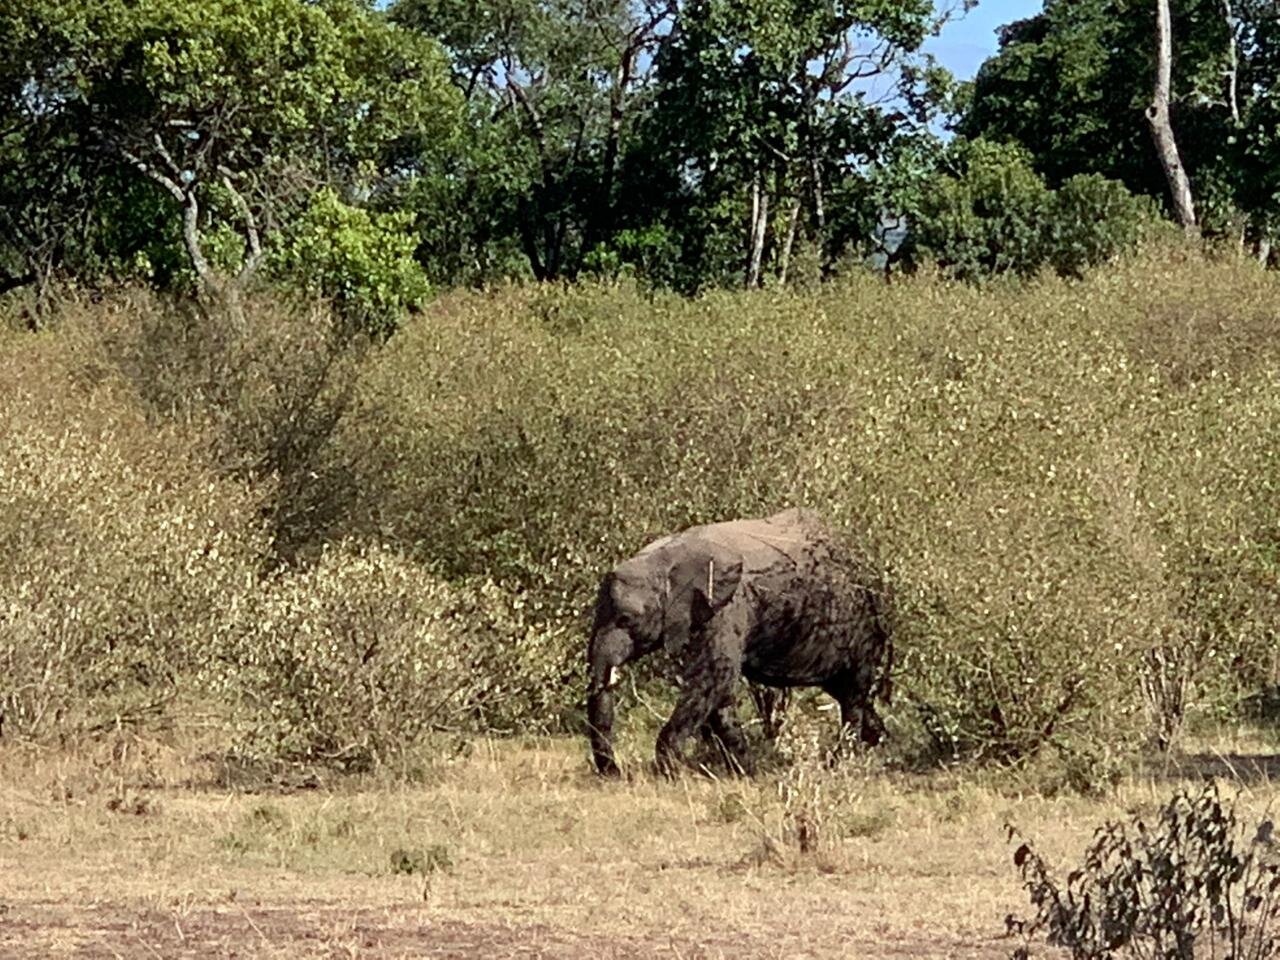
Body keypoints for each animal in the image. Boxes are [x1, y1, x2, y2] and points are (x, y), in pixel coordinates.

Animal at [585, 508, 893, 776]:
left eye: (626, 620)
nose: (615, 773)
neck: (666, 556)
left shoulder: (729, 606)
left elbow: (713, 677)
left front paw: (668, 774)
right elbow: (718, 695)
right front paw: (747, 773)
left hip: (863, 624)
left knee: (853, 693)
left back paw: (841, 764)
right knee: (846, 691)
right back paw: (881, 744)